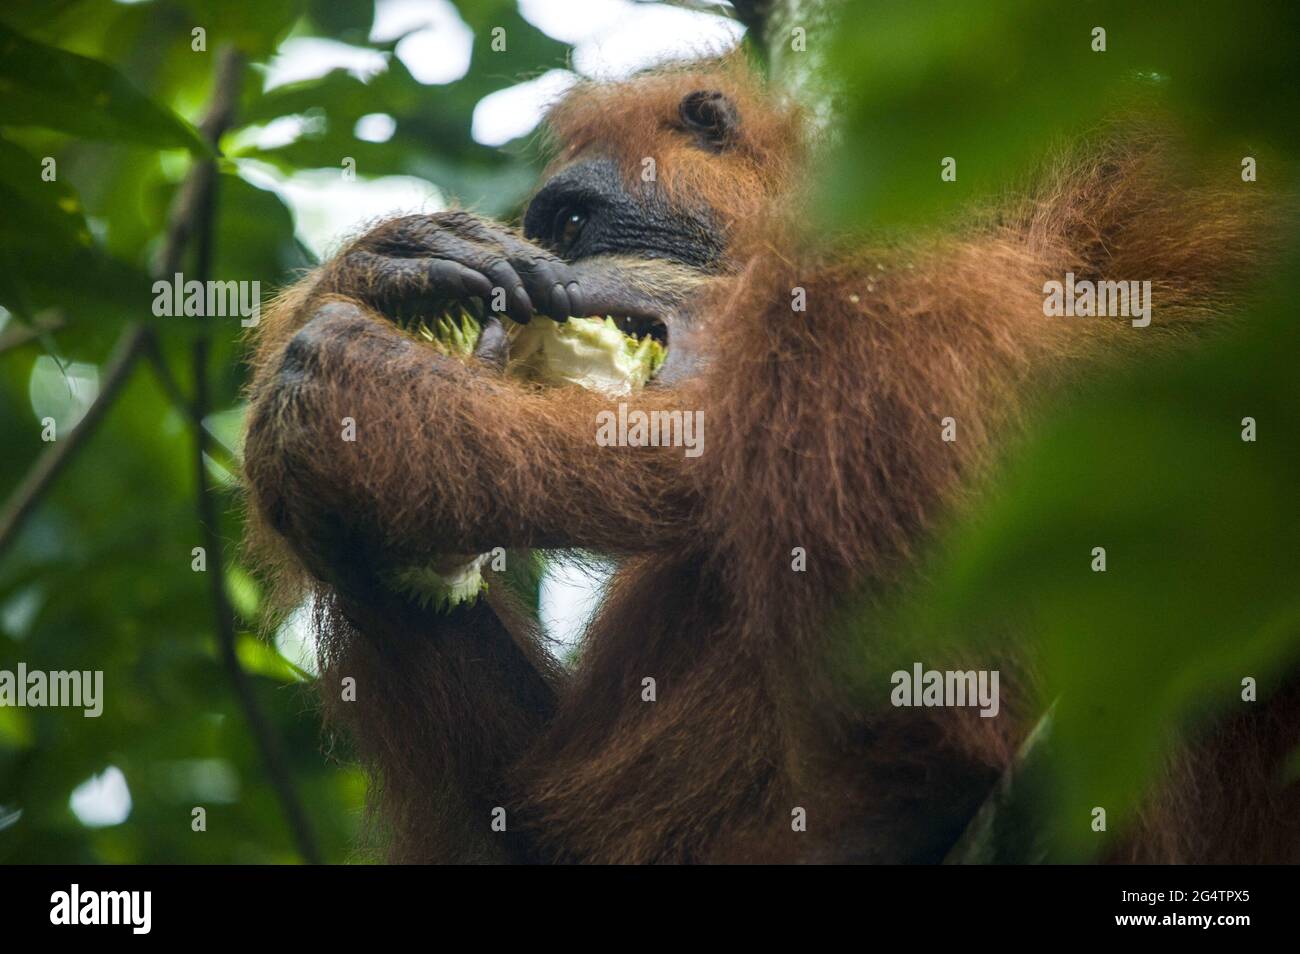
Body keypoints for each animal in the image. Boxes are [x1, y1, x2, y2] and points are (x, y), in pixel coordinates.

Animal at [241, 56, 1297, 863]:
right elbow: (519, 830)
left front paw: (378, 403)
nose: (523, 303)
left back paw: (919, 790)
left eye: (573, 226)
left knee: (848, 296)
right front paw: (378, 281)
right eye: (545, 238)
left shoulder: (1121, 150)